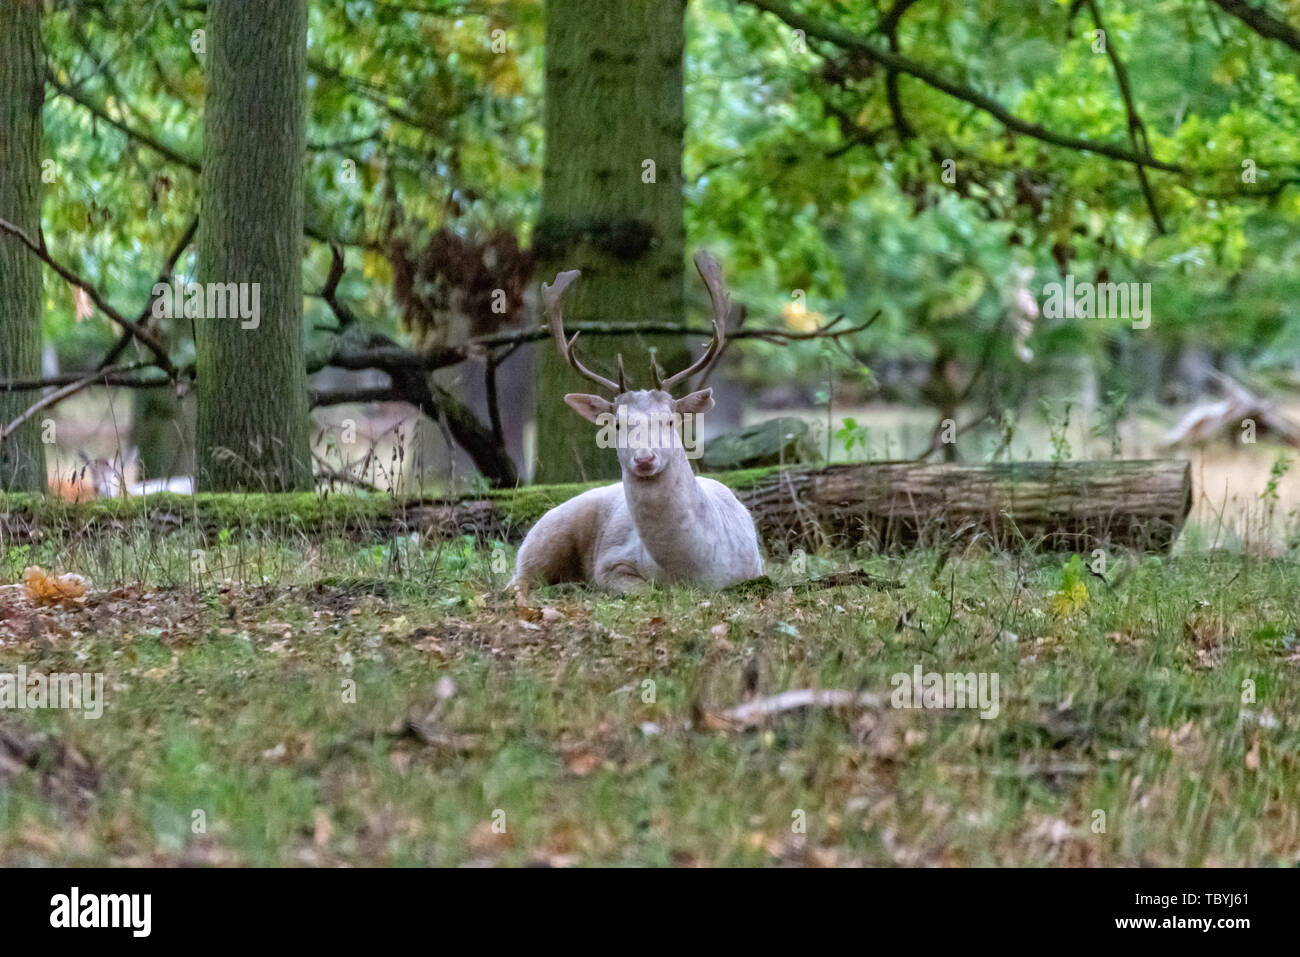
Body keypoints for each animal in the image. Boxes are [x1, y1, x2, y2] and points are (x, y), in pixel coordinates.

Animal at [512, 251, 764, 596]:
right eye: (616, 425)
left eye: (670, 421)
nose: (644, 458)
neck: (692, 572)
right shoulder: (611, 561)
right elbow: (641, 588)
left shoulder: (756, 568)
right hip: (544, 535)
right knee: (518, 581)